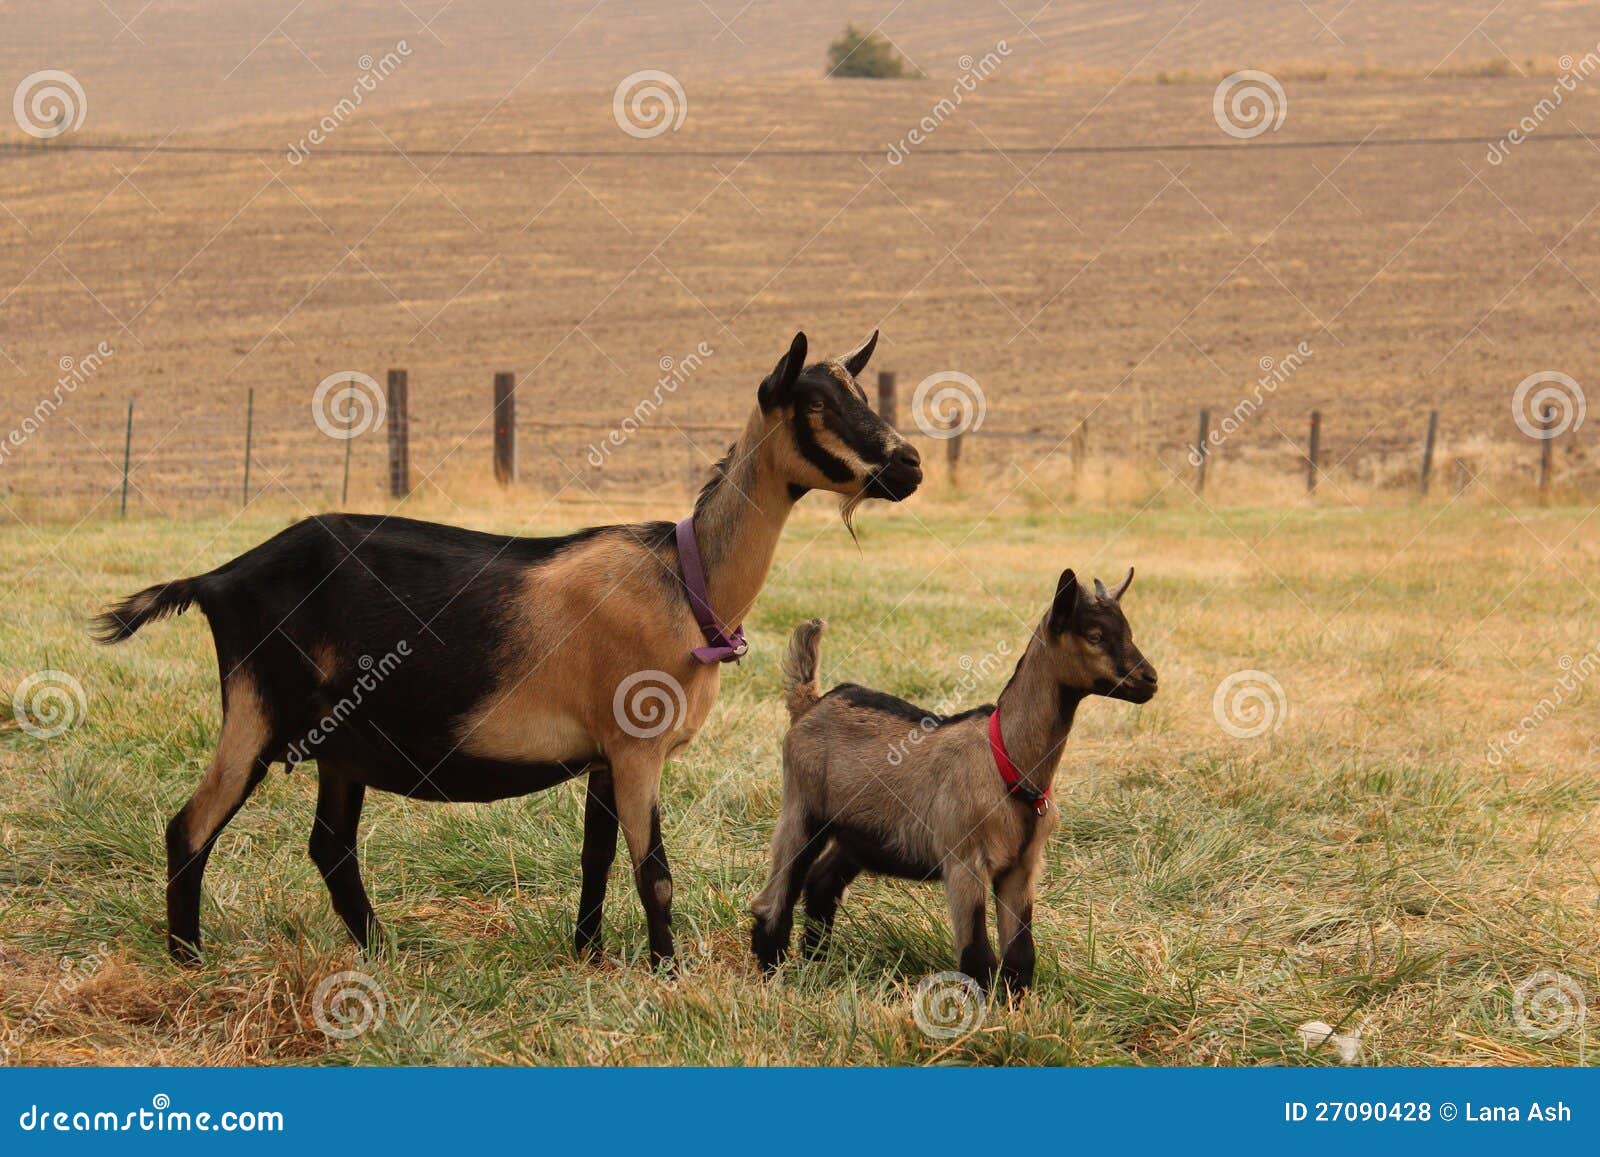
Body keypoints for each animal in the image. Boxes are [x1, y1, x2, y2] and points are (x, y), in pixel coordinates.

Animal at [92, 330, 923, 968]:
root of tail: (219, 578)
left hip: (341, 743)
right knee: (192, 825)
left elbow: (596, 859)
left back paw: (380, 952)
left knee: (330, 847)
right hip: (256, 708)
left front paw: (588, 954)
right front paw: (667, 971)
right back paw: (189, 962)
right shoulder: (636, 748)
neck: (688, 581)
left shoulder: (602, 751)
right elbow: (653, 870)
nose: (910, 465)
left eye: (862, 392)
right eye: (819, 406)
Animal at [750, 567, 1156, 994]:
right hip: (803, 810)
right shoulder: (965, 862)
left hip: (860, 834)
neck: (1006, 760)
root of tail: (811, 702)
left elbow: (1021, 956)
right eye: (1094, 636)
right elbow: (978, 957)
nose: (1150, 679)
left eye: (1127, 630)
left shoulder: (1021, 868)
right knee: (775, 895)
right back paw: (773, 974)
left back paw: (818, 962)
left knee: (821, 884)